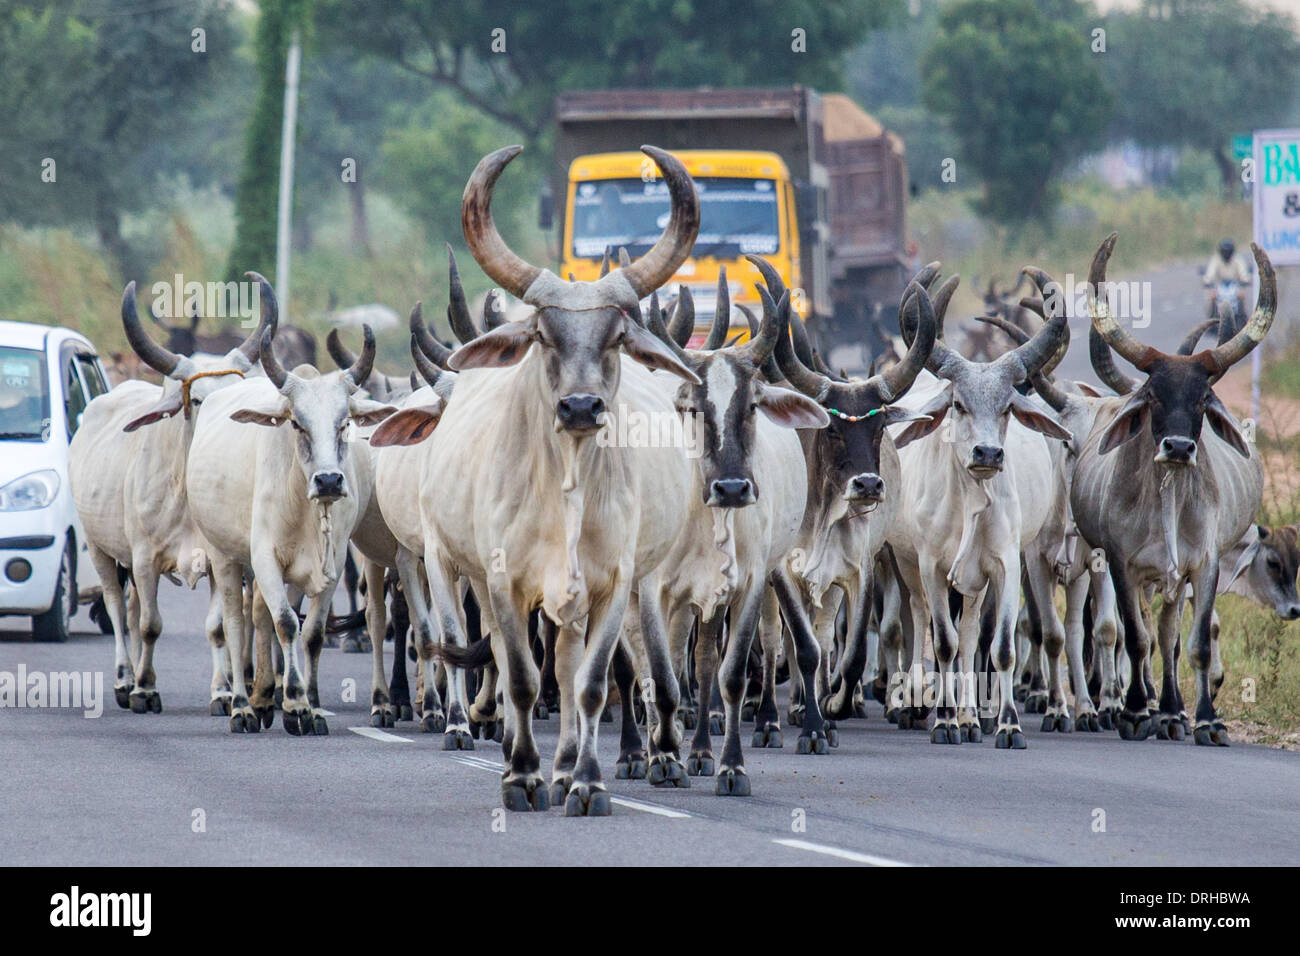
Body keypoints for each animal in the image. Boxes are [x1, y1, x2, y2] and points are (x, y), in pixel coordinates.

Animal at [69, 278, 275, 715]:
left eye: (240, 395)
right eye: (197, 400)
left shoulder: (217, 559)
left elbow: (216, 628)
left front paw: (222, 692)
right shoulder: (145, 559)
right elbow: (151, 626)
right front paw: (145, 689)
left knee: (129, 611)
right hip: (102, 550)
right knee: (117, 610)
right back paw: (124, 680)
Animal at [185, 293, 397, 736]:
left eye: (345, 423)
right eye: (296, 423)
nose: (330, 480)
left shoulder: (331, 562)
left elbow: (311, 631)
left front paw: (310, 707)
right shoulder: (264, 555)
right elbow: (284, 621)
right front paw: (295, 704)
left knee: (259, 616)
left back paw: (265, 696)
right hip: (223, 555)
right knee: (236, 623)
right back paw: (243, 705)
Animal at [1071, 232, 1274, 745]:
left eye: (1203, 399)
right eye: (1153, 395)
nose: (1180, 448)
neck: (1169, 497)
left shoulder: (1203, 565)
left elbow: (1194, 643)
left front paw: (1205, 719)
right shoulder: (1122, 565)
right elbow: (1135, 637)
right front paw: (1134, 711)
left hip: (1174, 579)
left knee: (1169, 635)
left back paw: (1171, 713)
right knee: (1147, 633)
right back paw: (1150, 709)